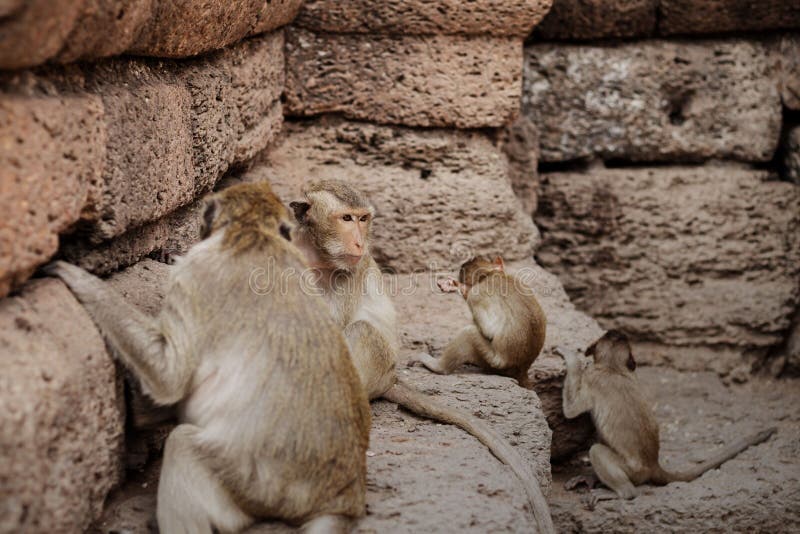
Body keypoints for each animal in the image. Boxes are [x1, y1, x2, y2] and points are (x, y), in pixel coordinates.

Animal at [44, 182, 371, 534]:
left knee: (182, 445)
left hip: (253, 485)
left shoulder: (194, 272)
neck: (253, 232)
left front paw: (80, 280)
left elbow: (169, 376)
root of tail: (345, 497)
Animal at [413, 256, 546, 389]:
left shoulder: (476, 295)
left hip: (493, 361)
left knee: (469, 333)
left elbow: (489, 330)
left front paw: (461, 288)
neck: (490, 275)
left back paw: (438, 366)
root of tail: (522, 370)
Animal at [555, 330, 776, 507]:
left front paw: (570, 357)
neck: (614, 368)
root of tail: (653, 464)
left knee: (597, 452)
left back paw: (623, 493)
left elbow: (571, 410)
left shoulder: (593, 377)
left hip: (634, 472)